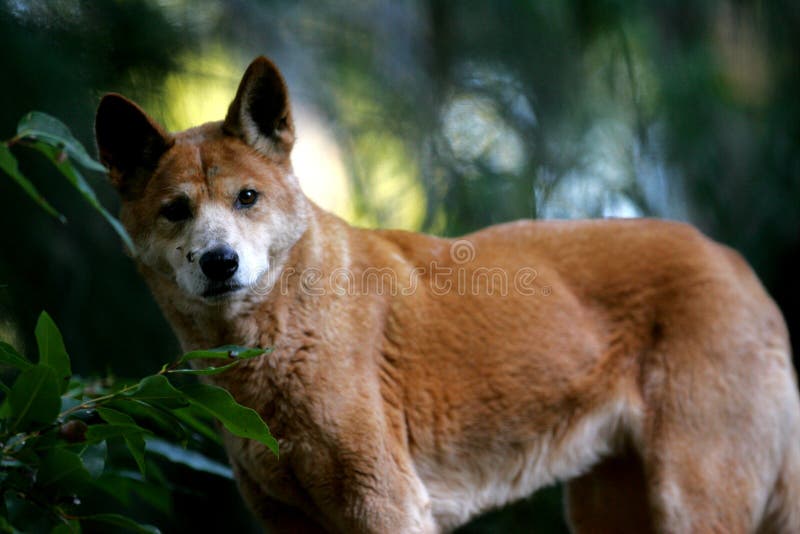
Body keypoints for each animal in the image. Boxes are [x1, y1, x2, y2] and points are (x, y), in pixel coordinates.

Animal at [98, 56, 800, 532]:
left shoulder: (384, 503)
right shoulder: (285, 518)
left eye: (247, 197)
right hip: (612, 506)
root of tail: (737, 265)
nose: (220, 261)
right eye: (176, 210)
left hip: (695, 496)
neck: (267, 351)